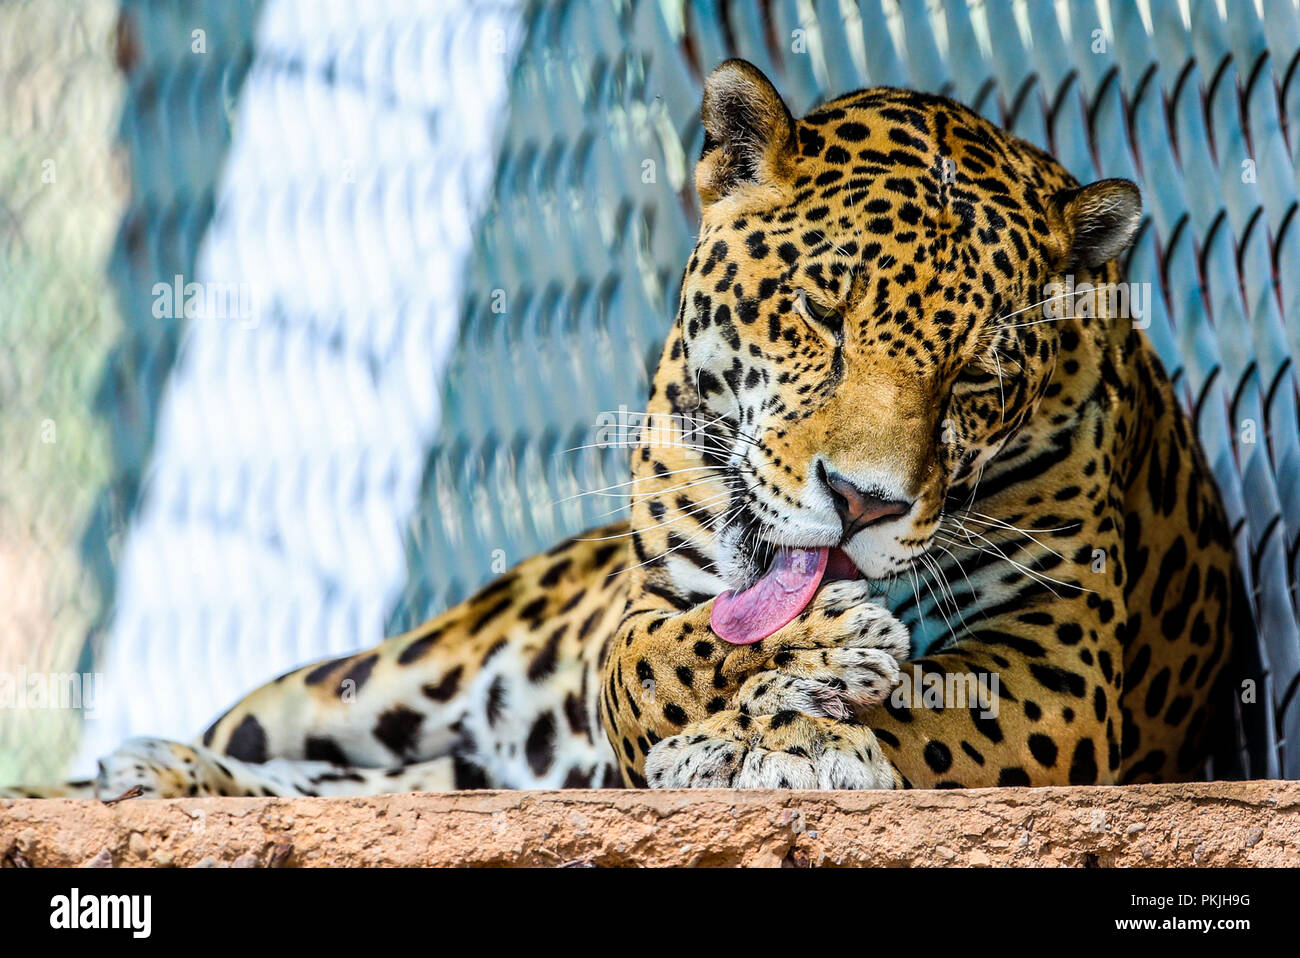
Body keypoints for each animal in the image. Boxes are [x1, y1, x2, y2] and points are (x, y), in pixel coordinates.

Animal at [5, 59, 1248, 800]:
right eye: (818, 311)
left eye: (977, 375)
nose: (864, 501)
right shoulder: (652, 597)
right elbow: (660, 656)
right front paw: (794, 671)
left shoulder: (1057, 658)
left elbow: (929, 720)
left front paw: (807, 736)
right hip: (365, 681)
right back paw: (156, 770)